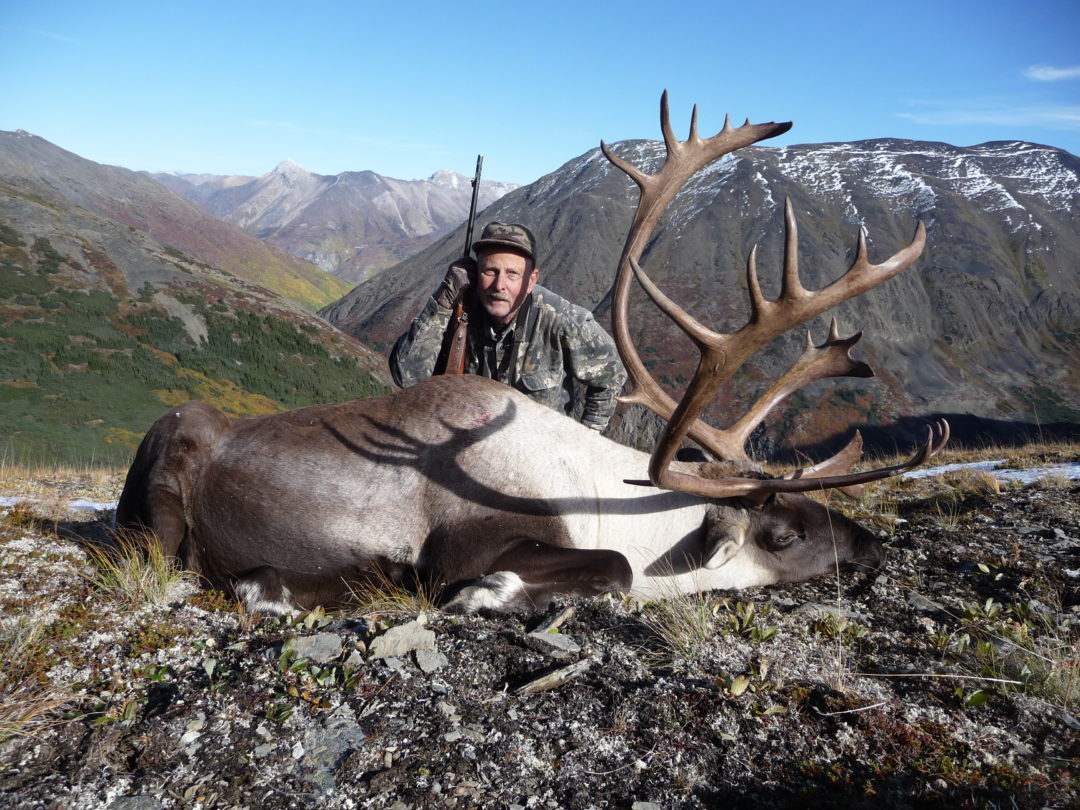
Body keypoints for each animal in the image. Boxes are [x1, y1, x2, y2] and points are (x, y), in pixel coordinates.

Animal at [115, 93, 948, 615]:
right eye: (785, 533)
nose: (875, 548)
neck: (614, 507)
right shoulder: (467, 542)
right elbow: (607, 570)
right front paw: (492, 594)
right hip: (159, 498)